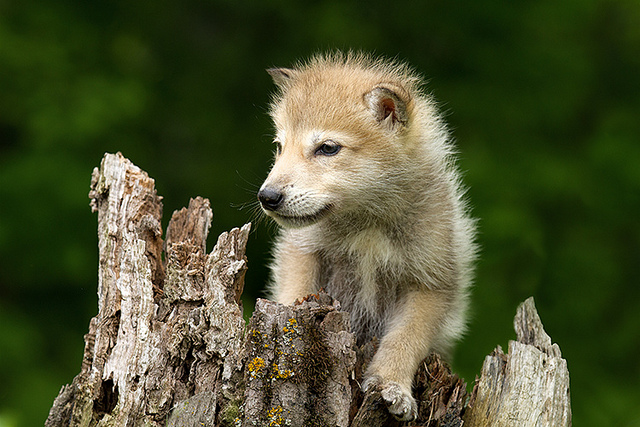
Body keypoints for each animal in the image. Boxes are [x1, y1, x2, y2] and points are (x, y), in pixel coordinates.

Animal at [257, 52, 476, 421]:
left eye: (328, 148)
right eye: (279, 147)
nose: (267, 197)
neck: (367, 224)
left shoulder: (431, 283)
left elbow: (406, 338)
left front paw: (392, 386)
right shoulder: (302, 250)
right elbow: (294, 295)